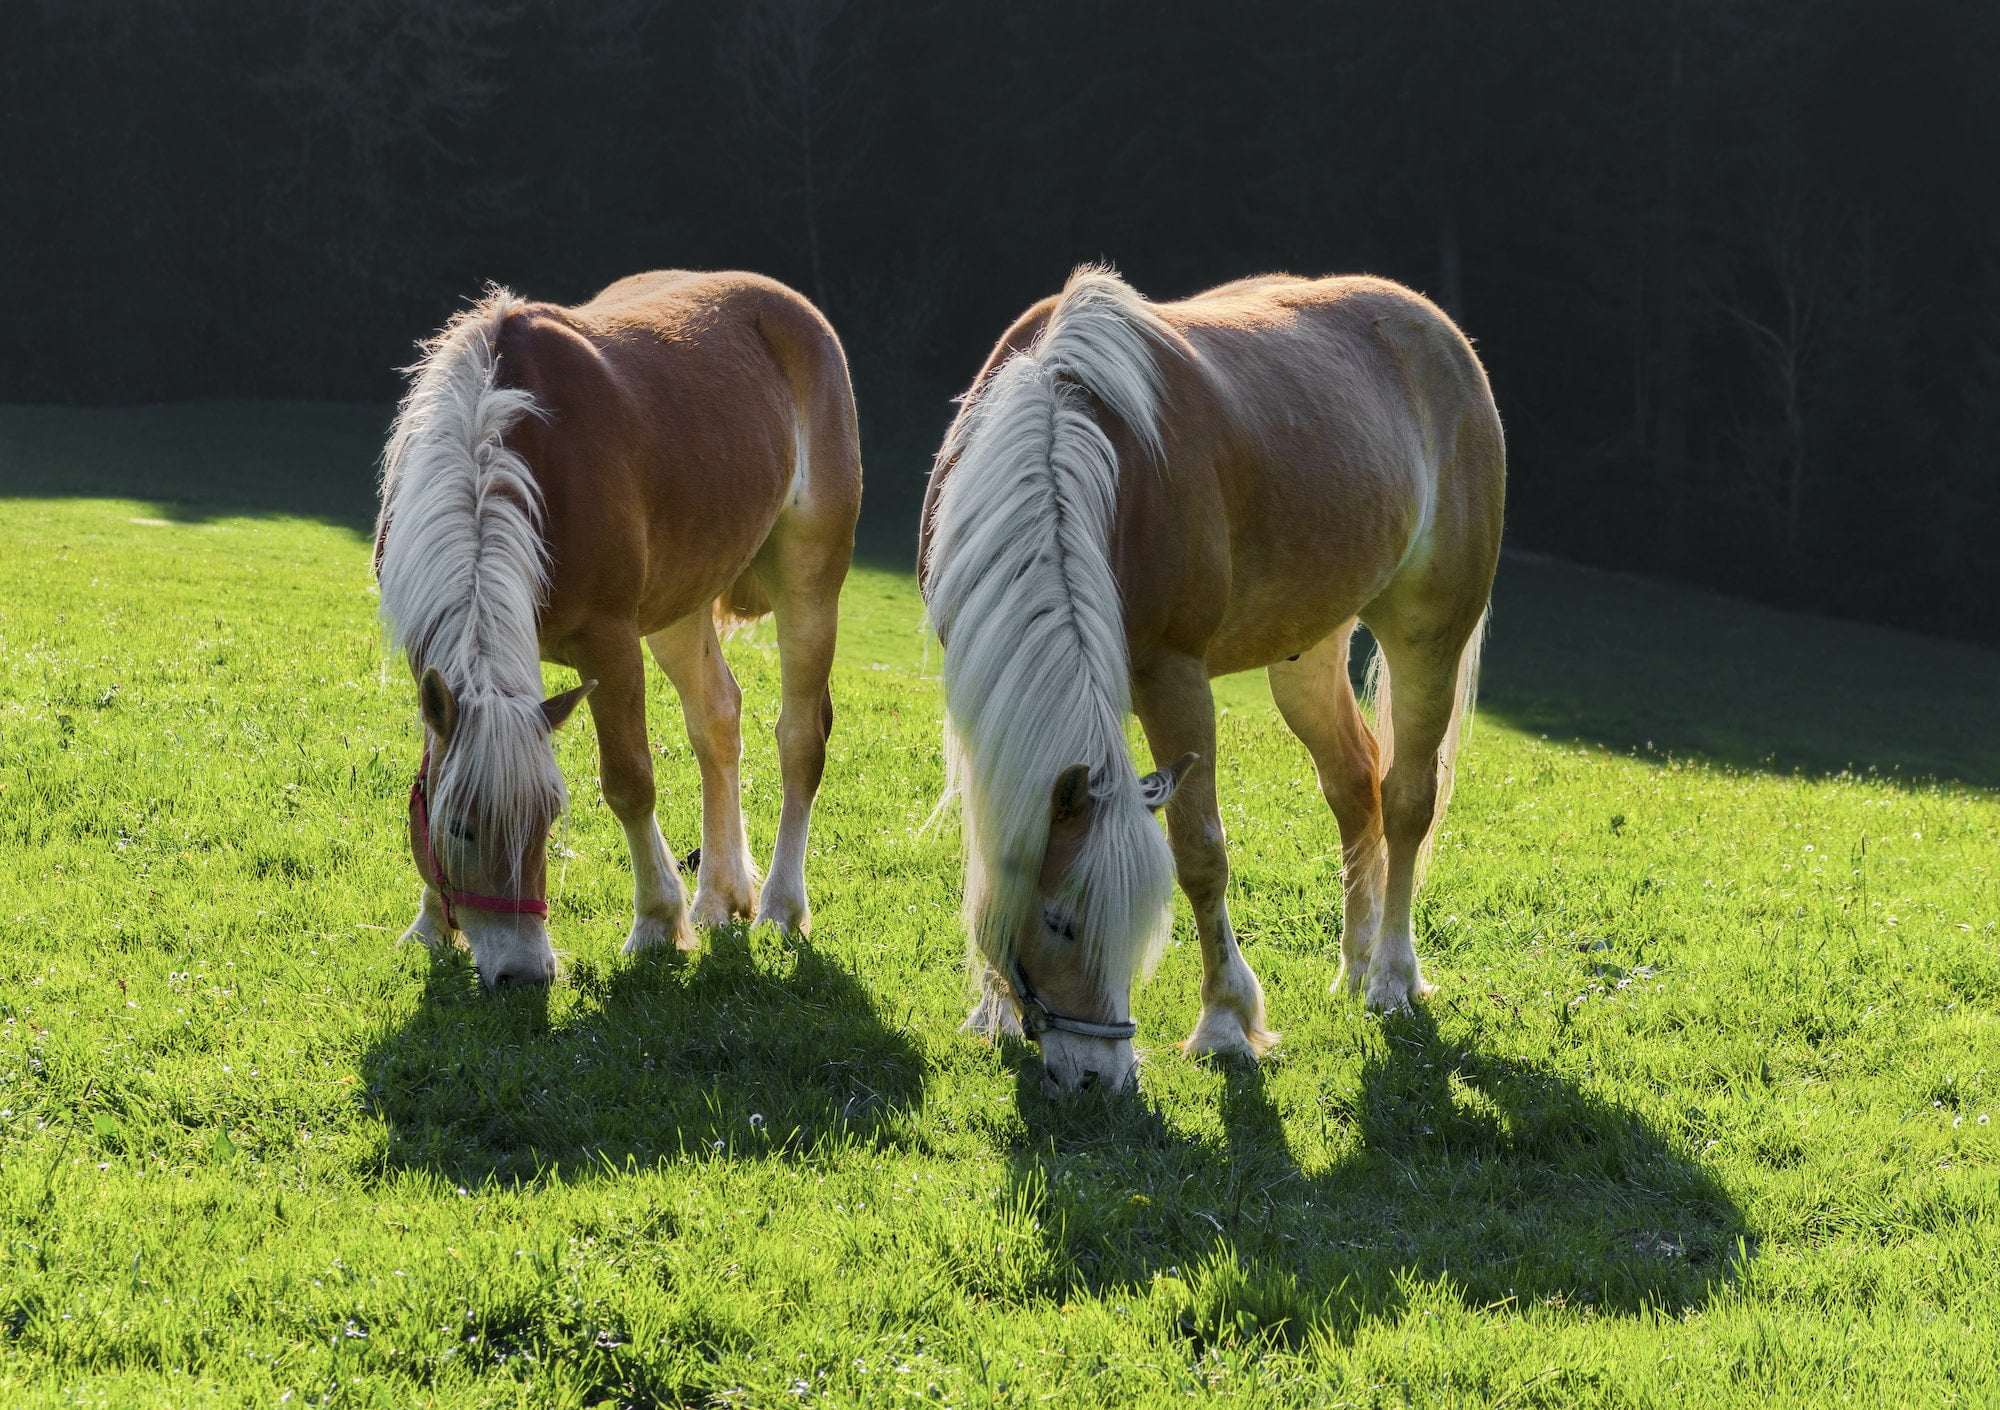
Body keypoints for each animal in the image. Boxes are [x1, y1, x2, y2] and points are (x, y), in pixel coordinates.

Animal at [374, 271, 861, 989]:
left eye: (550, 818)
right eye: (461, 827)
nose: (523, 974)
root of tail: (791, 307)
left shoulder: (611, 647)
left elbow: (629, 783)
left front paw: (657, 923)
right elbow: (434, 774)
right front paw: (433, 923)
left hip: (809, 580)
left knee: (800, 738)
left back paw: (778, 907)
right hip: (681, 608)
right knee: (717, 720)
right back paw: (720, 897)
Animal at [920, 267, 1503, 1094]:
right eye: (1060, 920)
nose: (1098, 1076)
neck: (1068, 446)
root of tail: (1443, 336)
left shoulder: (1174, 681)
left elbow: (1199, 855)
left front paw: (1225, 1021)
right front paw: (995, 1011)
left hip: (1428, 638)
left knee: (1406, 802)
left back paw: (1391, 978)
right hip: (1308, 655)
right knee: (1354, 788)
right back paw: (1355, 966)